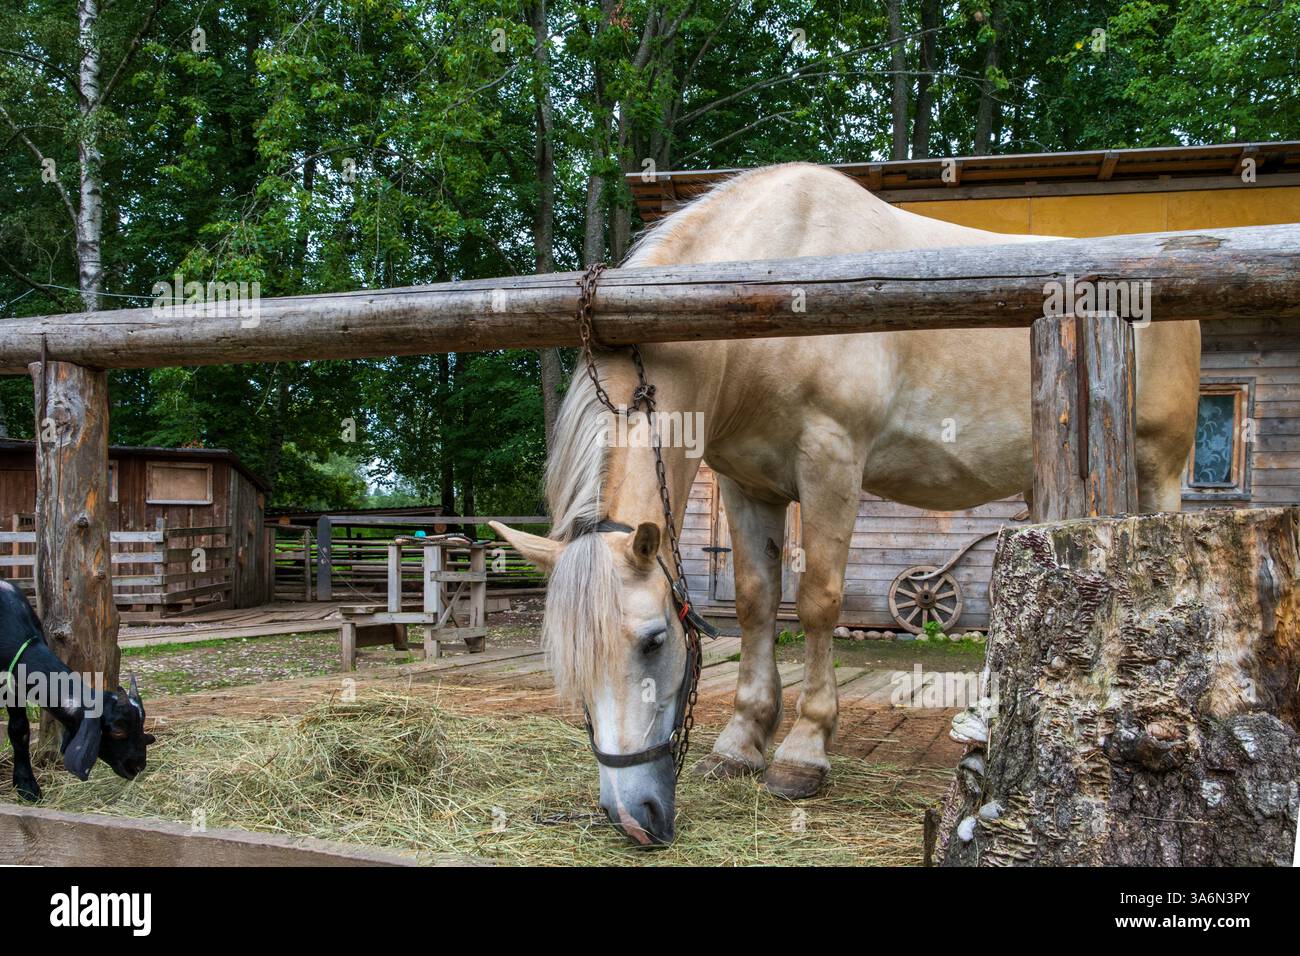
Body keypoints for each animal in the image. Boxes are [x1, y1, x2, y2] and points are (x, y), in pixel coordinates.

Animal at [492, 162, 1201, 846]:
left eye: (654, 640)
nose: (634, 816)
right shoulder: (747, 484)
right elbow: (755, 601)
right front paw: (741, 742)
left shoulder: (831, 462)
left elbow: (817, 602)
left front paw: (803, 753)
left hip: (1156, 468)